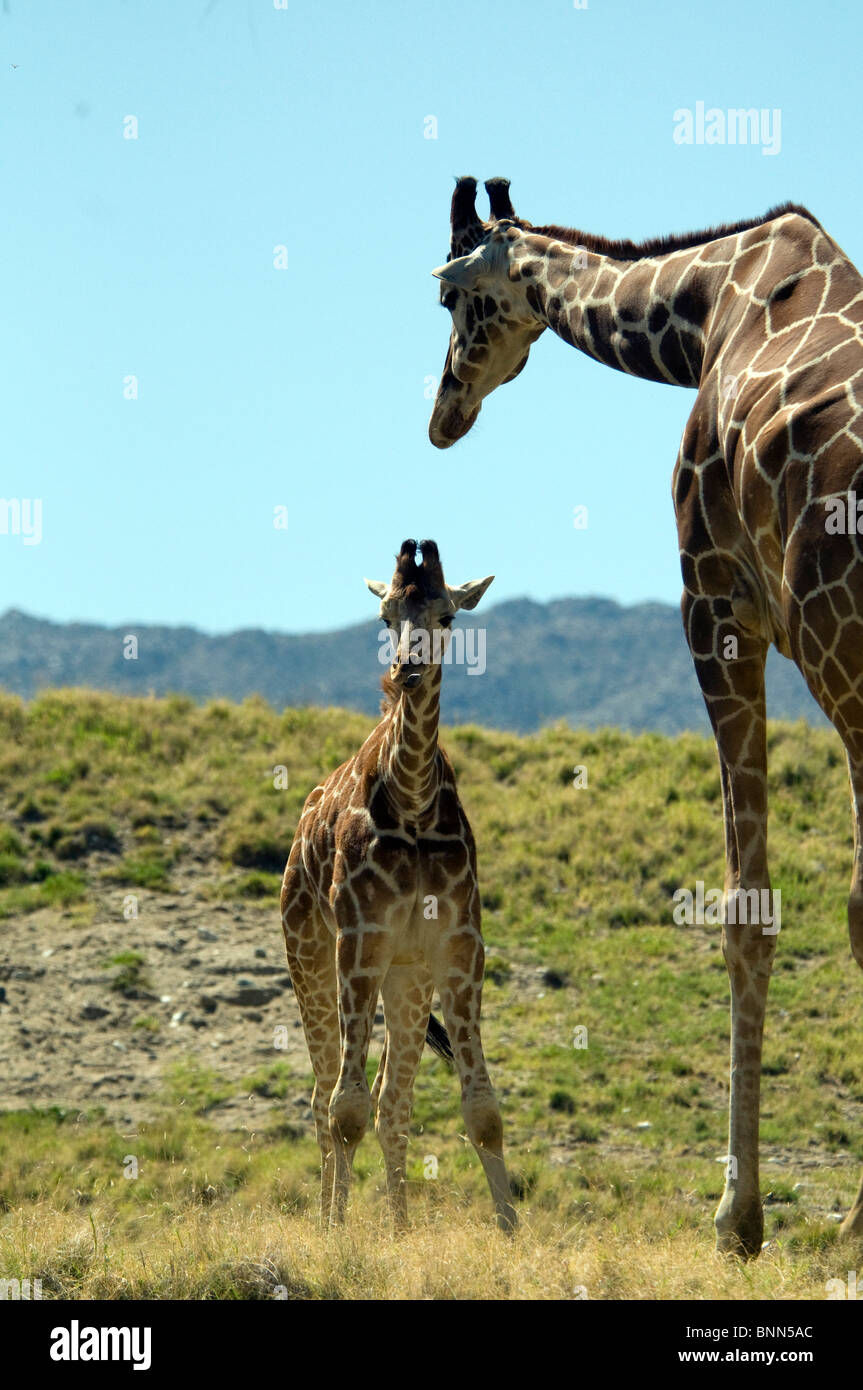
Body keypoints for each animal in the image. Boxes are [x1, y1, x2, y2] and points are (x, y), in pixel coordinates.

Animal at [280, 538, 516, 1232]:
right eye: (386, 617)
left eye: (447, 616)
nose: (407, 670)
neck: (412, 801)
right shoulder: (359, 942)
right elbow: (346, 1109)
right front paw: (337, 1235)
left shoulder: (459, 947)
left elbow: (482, 1112)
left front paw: (512, 1231)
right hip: (310, 954)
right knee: (323, 1096)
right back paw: (330, 1217)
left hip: (406, 977)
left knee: (393, 1103)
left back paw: (399, 1225)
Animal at [428, 176, 863, 1257]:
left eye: (448, 296)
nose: (441, 412)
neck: (703, 308)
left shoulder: (715, 603)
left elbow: (748, 907)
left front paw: (738, 1217)